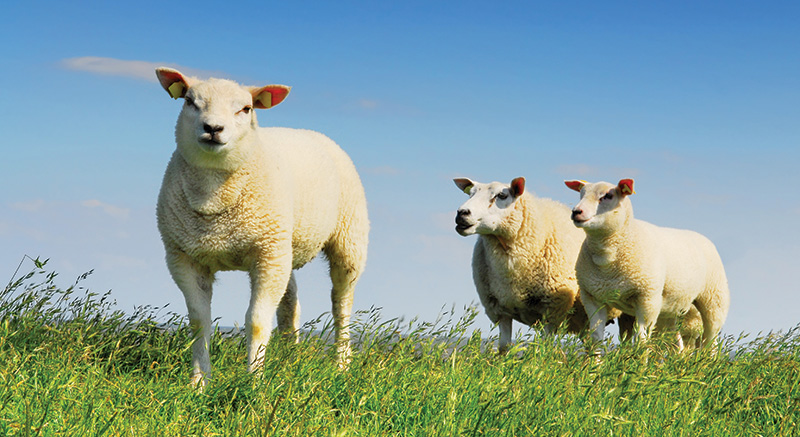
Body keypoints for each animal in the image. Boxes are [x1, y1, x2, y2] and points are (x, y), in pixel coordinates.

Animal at [154, 67, 369, 386]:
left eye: (246, 108)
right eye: (190, 102)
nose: (213, 128)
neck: (214, 200)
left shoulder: (266, 255)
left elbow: (256, 321)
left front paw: (253, 381)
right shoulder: (183, 257)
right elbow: (198, 321)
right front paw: (198, 383)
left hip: (347, 238)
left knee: (341, 305)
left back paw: (341, 364)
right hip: (283, 248)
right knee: (290, 307)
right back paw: (289, 362)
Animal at [453, 176, 632, 352]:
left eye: (502, 196)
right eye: (470, 193)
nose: (462, 213)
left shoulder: (552, 308)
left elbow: (544, 346)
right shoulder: (500, 309)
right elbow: (504, 347)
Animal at [565, 178, 730, 350]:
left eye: (608, 196)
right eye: (581, 194)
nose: (576, 212)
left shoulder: (647, 298)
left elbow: (641, 339)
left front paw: (639, 357)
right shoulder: (592, 297)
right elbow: (596, 338)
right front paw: (595, 358)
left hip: (714, 299)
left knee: (710, 339)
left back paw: (707, 356)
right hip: (669, 307)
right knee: (676, 342)